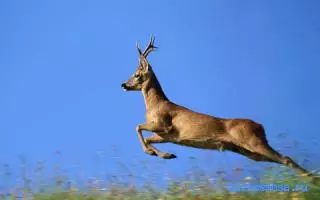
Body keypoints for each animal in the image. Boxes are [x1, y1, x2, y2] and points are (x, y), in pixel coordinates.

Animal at [121, 36, 316, 180]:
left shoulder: (164, 125)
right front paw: (165, 155)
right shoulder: (168, 136)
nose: (123, 84)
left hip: (253, 141)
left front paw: (155, 153)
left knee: (286, 158)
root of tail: (261, 126)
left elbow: (137, 127)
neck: (155, 104)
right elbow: (148, 139)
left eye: (137, 74)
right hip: (248, 151)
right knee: (281, 160)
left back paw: (312, 180)